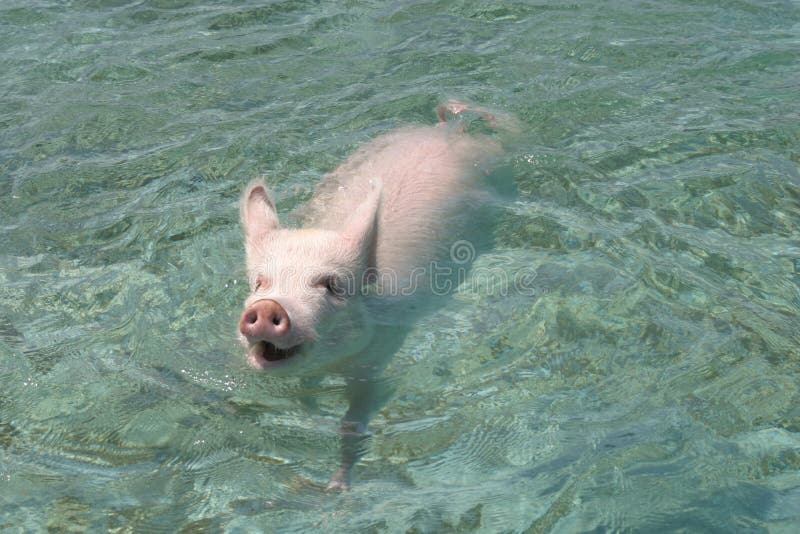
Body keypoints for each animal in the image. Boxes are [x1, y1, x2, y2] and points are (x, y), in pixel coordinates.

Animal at [238, 100, 509, 490]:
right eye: (259, 283)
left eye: (332, 285)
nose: (266, 307)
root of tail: (450, 131)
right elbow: (306, 391)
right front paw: (313, 411)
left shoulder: (379, 356)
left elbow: (354, 421)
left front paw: (336, 489)